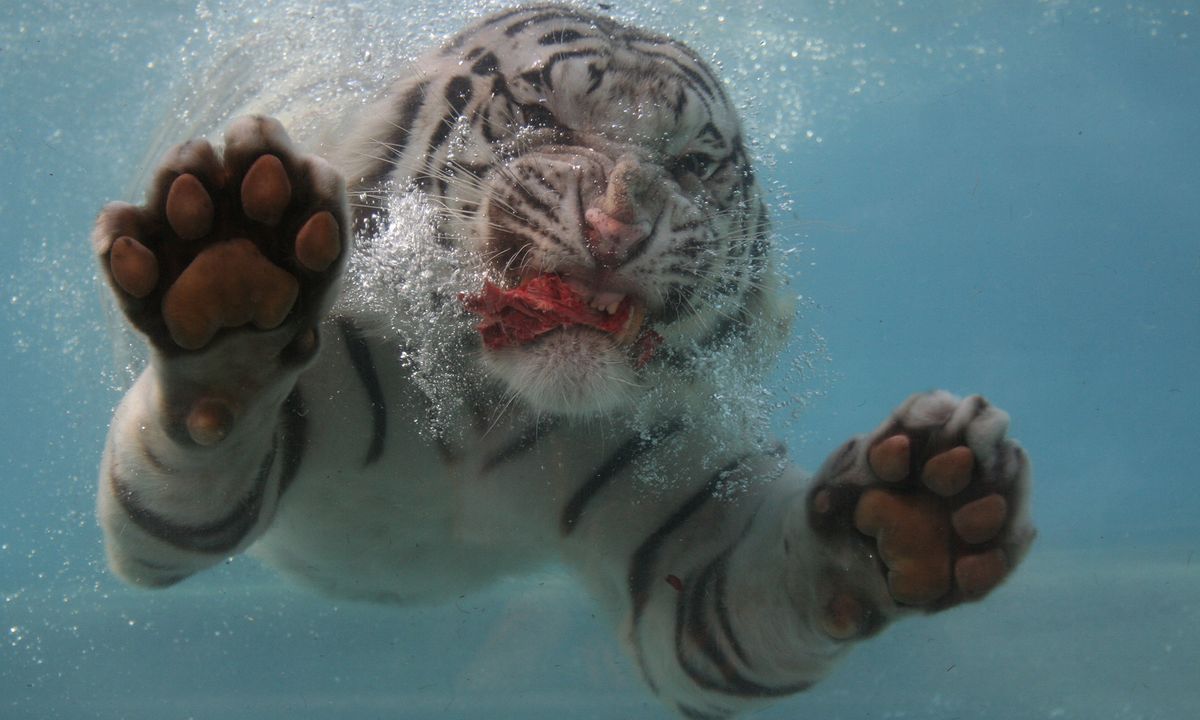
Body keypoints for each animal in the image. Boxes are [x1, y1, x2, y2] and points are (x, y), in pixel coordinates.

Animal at [89, 4, 1035, 718]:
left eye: (692, 162)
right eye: (543, 118)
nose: (621, 222)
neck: (488, 416)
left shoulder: (689, 534)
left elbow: (781, 586)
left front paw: (918, 510)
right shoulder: (204, 488)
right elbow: (211, 422)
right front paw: (230, 286)